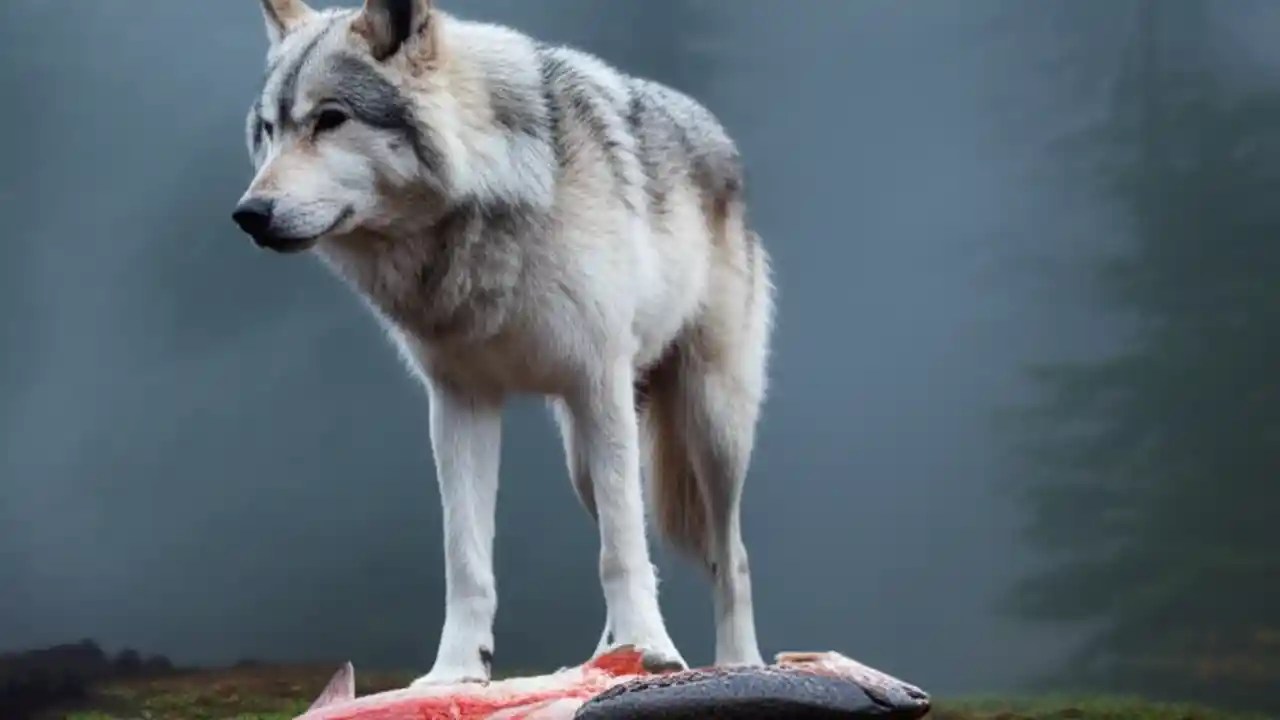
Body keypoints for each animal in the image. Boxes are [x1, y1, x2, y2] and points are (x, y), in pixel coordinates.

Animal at [232, 0, 775, 686]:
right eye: (268, 130)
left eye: (331, 119)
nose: (249, 214)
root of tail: (717, 135)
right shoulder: (459, 405)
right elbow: (467, 563)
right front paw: (456, 673)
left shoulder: (598, 385)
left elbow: (623, 551)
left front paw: (652, 651)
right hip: (582, 458)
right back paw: (601, 659)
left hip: (710, 430)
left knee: (731, 557)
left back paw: (737, 663)